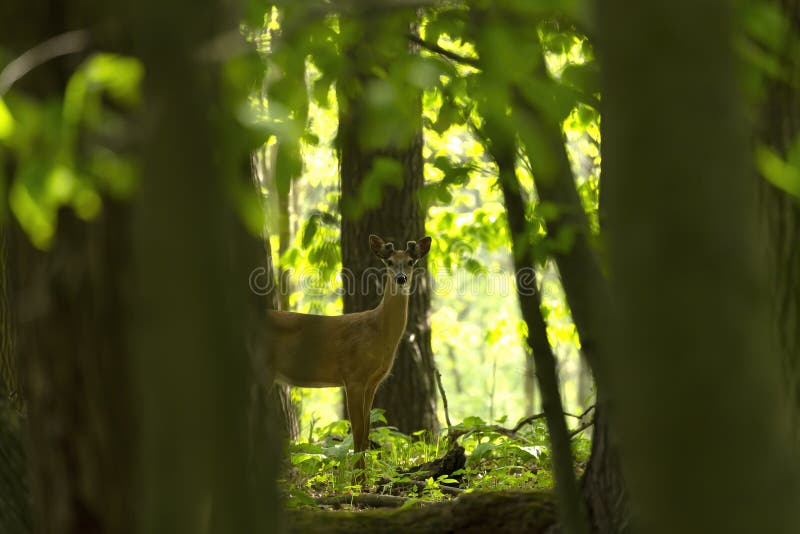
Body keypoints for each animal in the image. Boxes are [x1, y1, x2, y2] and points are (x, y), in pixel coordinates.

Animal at [267, 234, 432, 468]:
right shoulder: (353, 376)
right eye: (389, 262)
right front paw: (356, 476)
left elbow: (366, 433)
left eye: (411, 262)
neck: (379, 332)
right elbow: (357, 432)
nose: (401, 279)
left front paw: (363, 475)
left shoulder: (372, 382)